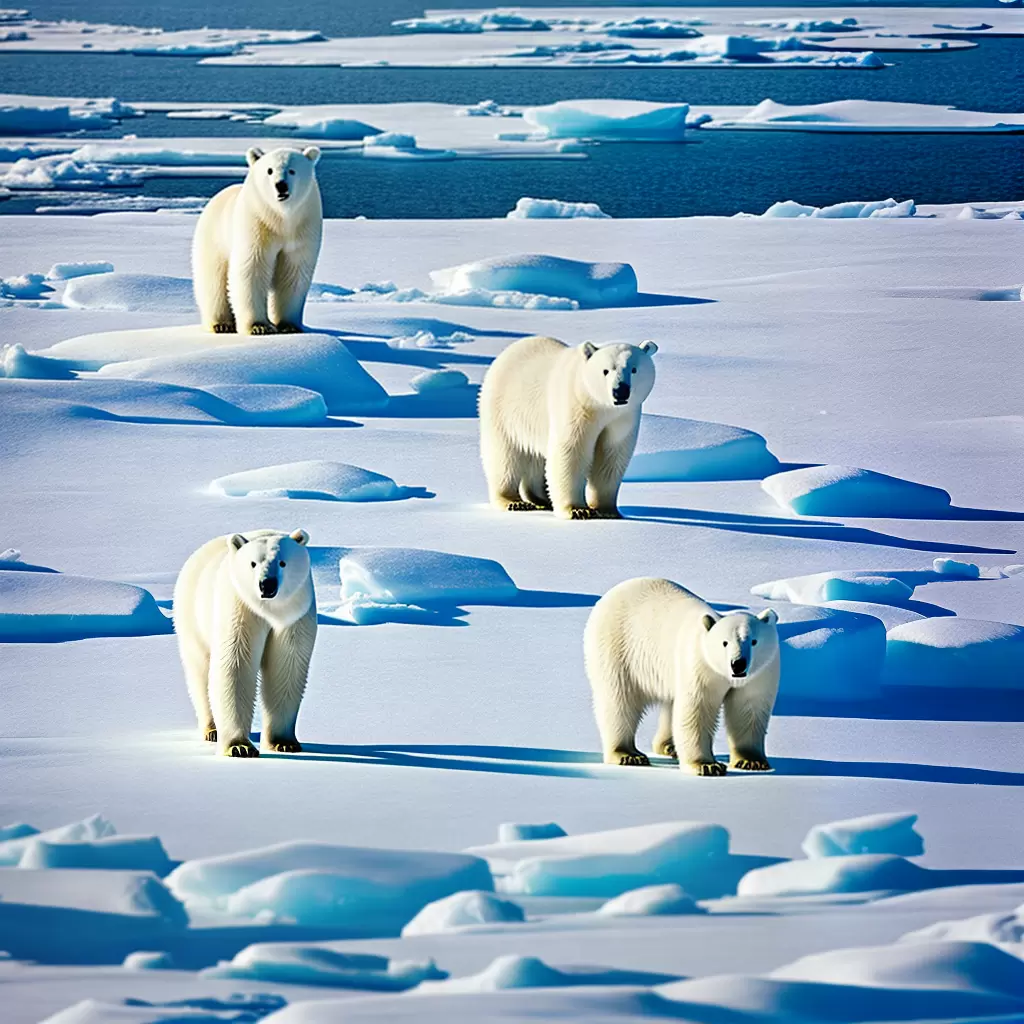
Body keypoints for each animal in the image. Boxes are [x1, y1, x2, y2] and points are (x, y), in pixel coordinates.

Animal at [173, 529, 317, 758]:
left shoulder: (295, 616)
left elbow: (287, 667)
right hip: (192, 618)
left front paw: (283, 743)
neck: (269, 611)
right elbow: (236, 664)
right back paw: (212, 730)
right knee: (200, 672)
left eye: (283, 562)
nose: (266, 585)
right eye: (253, 563)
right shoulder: (240, 608)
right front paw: (239, 747)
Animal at [192, 146, 323, 336]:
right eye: (269, 170)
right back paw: (221, 324)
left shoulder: (303, 227)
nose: (280, 185)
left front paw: (289, 325)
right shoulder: (258, 224)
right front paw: (259, 326)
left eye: (292, 170)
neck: (281, 217)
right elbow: (252, 268)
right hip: (214, 239)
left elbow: (293, 272)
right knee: (213, 280)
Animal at [478, 336, 657, 521]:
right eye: (606, 370)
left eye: (634, 369)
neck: (597, 404)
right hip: (504, 412)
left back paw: (540, 499)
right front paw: (578, 510)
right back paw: (513, 501)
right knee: (505, 458)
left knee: (536, 458)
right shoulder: (575, 408)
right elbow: (571, 453)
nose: (620, 391)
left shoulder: (622, 418)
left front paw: (608, 510)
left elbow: (611, 456)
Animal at [584, 577, 780, 776]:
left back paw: (668, 747)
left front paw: (751, 761)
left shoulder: (761, 672)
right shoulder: (699, 665)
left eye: (754, 641)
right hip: (618, 649)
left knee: (669, 704)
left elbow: (748, 708)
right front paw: (707, 765)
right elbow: (697, 710)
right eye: (724, 643)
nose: (738, 664)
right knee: (620, 700)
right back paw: (628, 754)